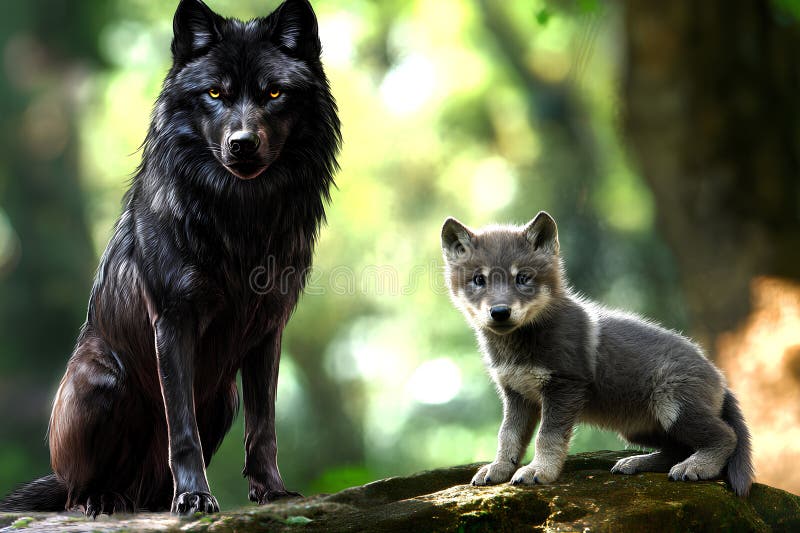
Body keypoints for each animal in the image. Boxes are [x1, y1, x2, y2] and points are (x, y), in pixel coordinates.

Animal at [0, 0, 340, 516]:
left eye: (274, 92)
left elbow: (264, 426)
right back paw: (104, 499)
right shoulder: (174, 320)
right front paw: (195, 497)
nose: (243, 144)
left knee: (149, 489)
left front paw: (271, 491)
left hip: (223, 397)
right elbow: (181, 430)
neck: (242, 218)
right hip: (103, 381)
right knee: (75, 494)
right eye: (215, 92)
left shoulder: (269, 326)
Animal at [441, 212, 754, 496]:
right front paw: (498, 469)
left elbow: (547, 437)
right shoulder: (517, 395)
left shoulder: (563, 387)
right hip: (638, 426)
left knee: (726, 436)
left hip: (672, 405)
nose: (500, 312)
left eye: (523, 278)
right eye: (479, 280)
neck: (519, 345)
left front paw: (538, 472)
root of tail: (721, 379)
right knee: (677, 449)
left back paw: (696, 467)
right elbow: (508, 436)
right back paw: (637, 462)